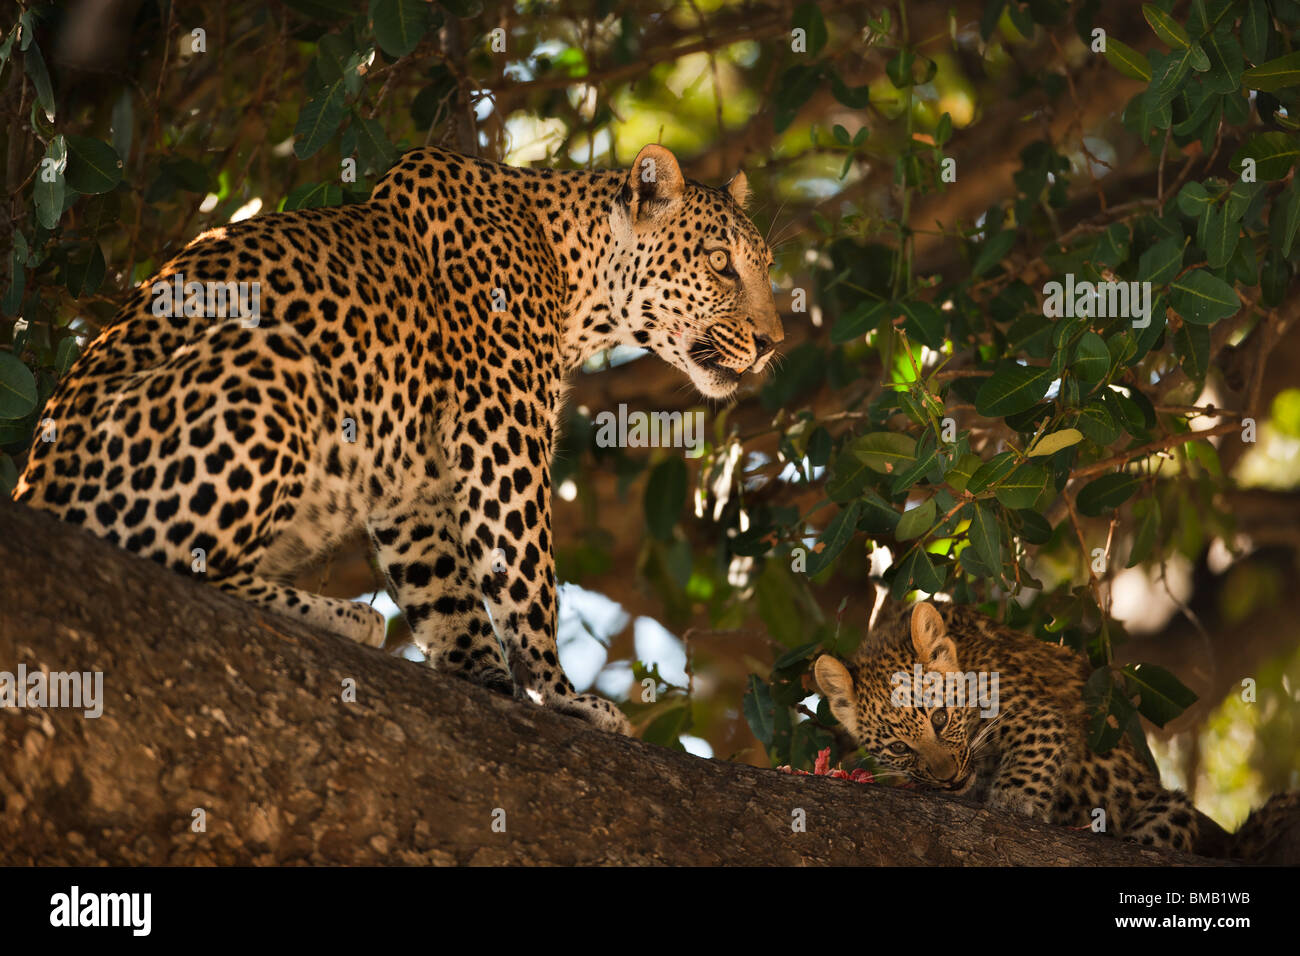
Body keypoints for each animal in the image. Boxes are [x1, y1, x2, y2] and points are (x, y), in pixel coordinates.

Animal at [13, 143, 783, 735]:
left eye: (766, 266)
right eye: (720, 262)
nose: (774, 342)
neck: (574, 275)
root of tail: (33, 486)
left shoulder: (415, 481)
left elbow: (445, 586)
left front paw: (481, 673)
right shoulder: (500, 431)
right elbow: (525, 574)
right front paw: (566, 697)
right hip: (274, 360)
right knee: (177, 559)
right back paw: (341, 615)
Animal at [814, 597, 1198, 851]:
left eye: (940, 718)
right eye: (898, 748)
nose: (948, 778)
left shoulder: (1033, 710)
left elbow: (1033, 751)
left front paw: (1013, 802)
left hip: (1170, 810)